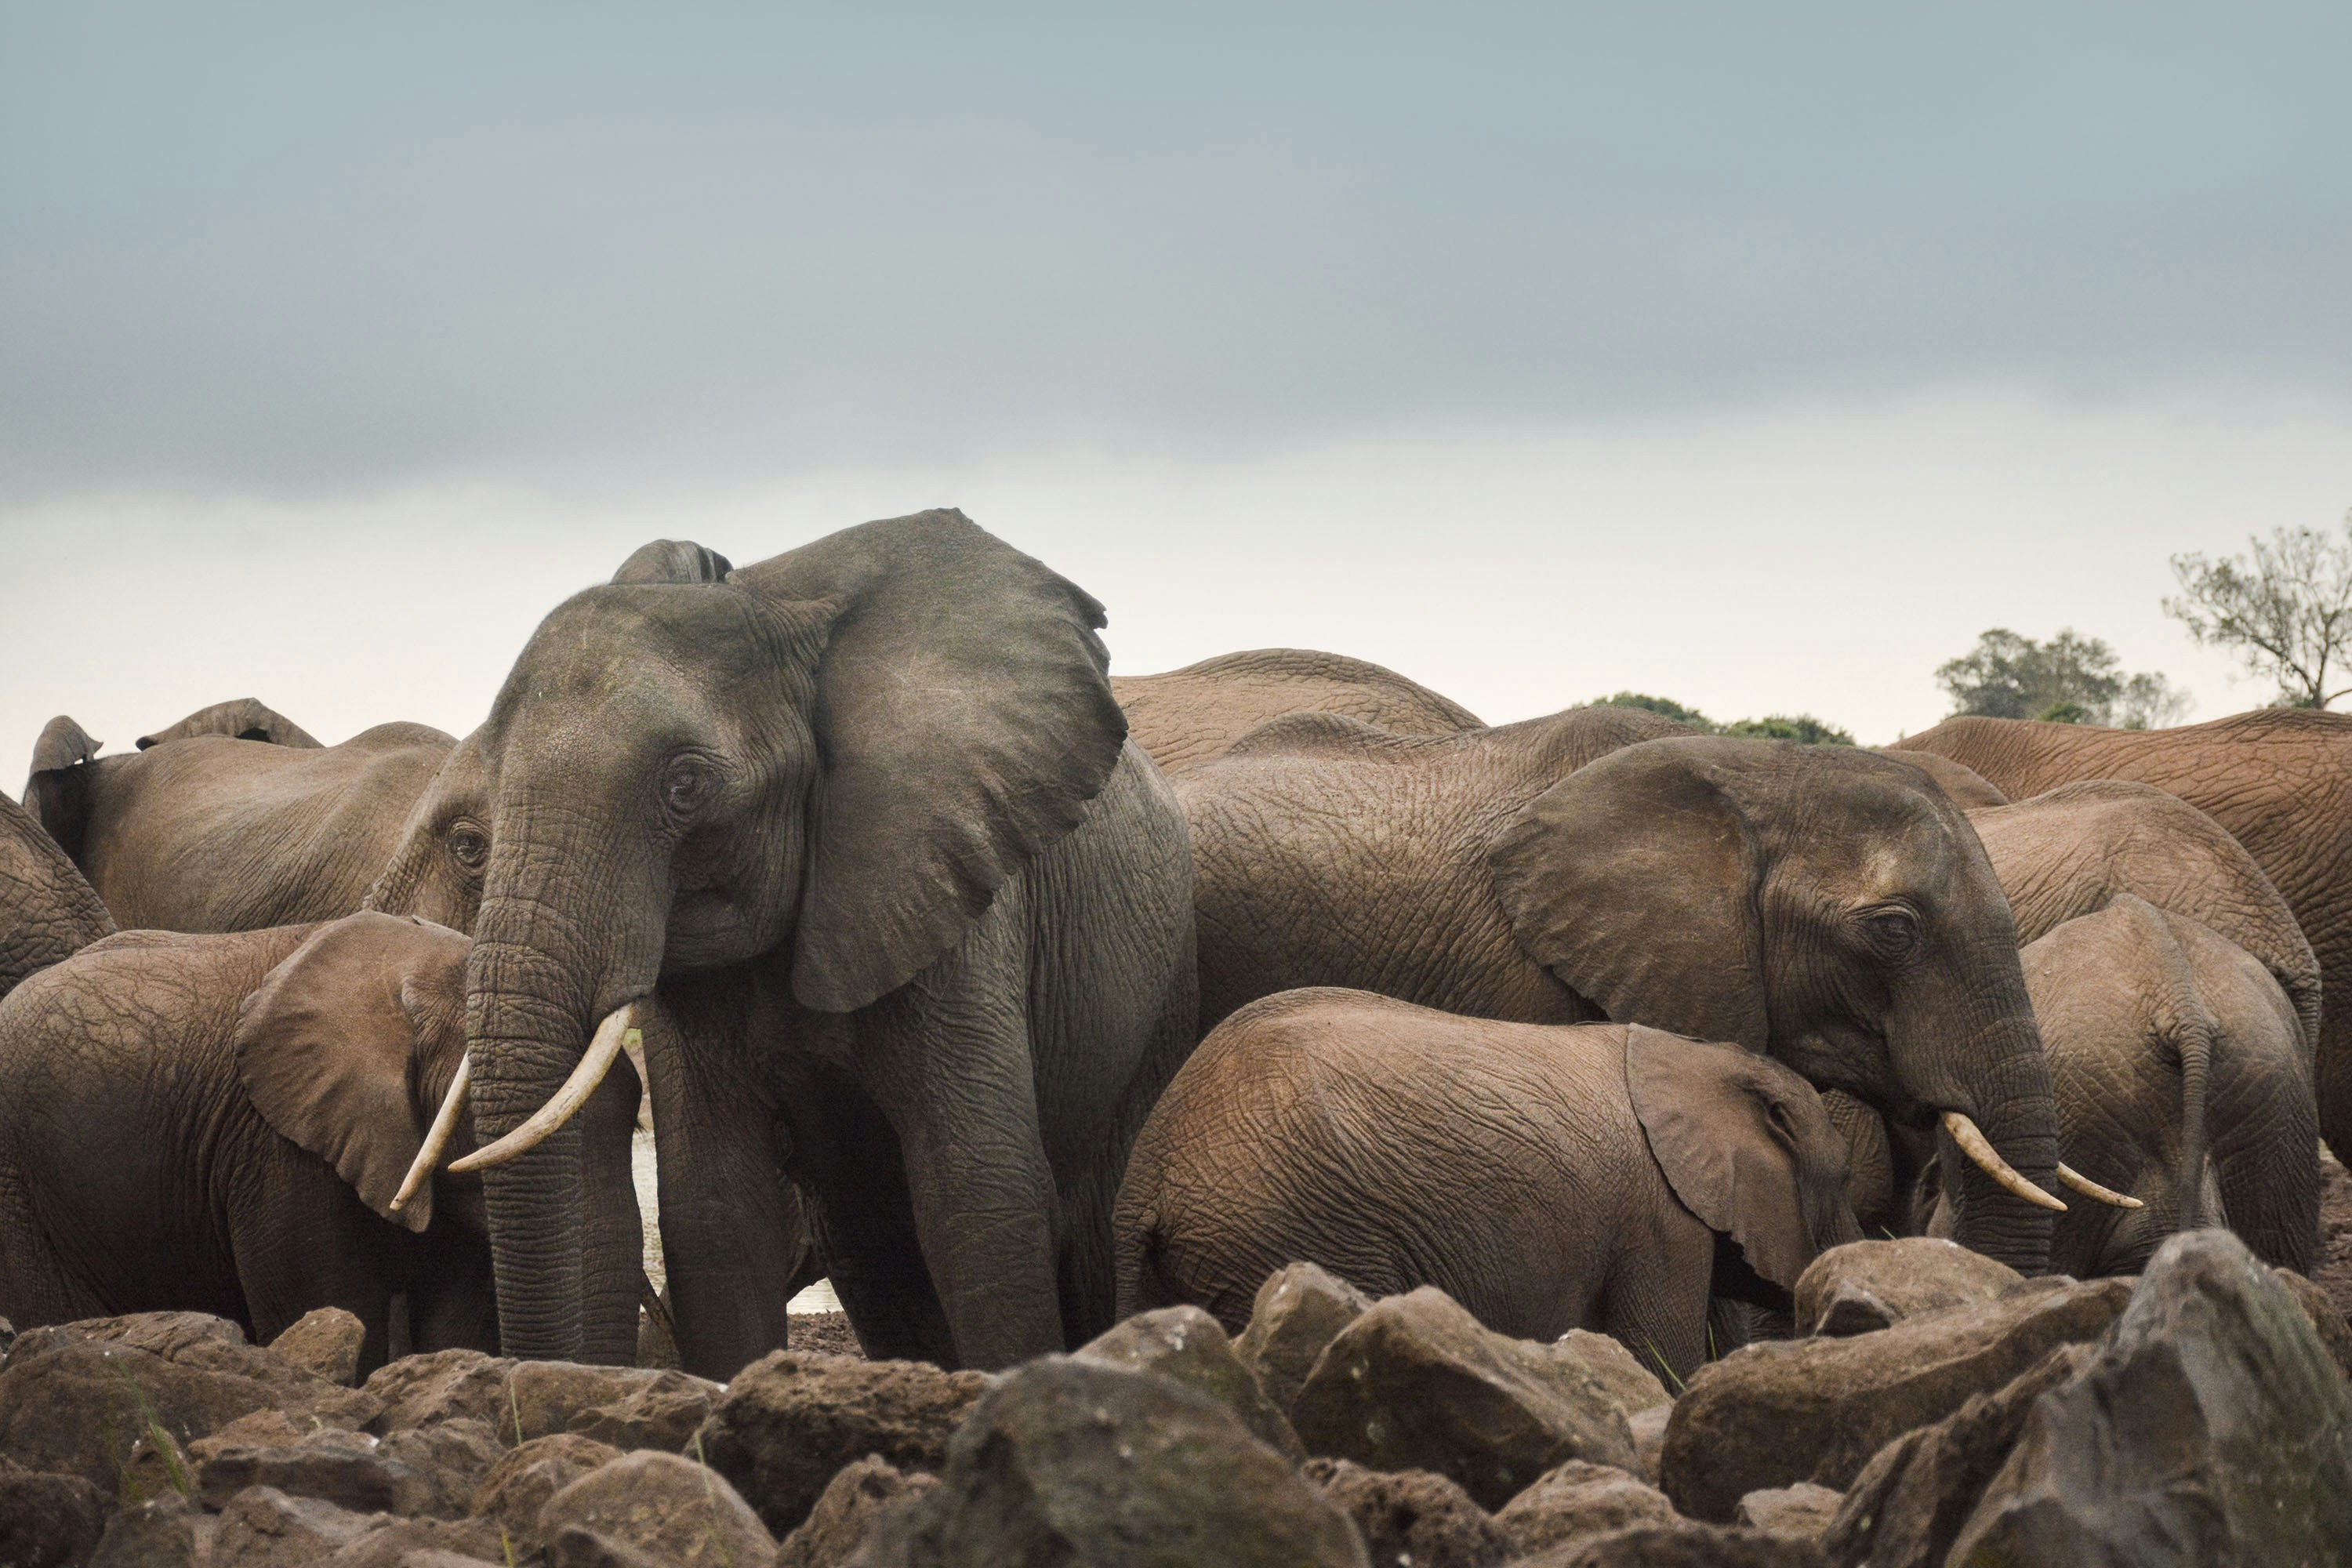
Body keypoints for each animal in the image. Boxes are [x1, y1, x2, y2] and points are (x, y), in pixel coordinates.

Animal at [1113, 988, 1863, 1381]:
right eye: (1844, 1173)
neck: (1703, 1057)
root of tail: (1145, 1182)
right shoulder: (1660, 1222)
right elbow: (1659, 1356)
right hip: (1297, 1221)